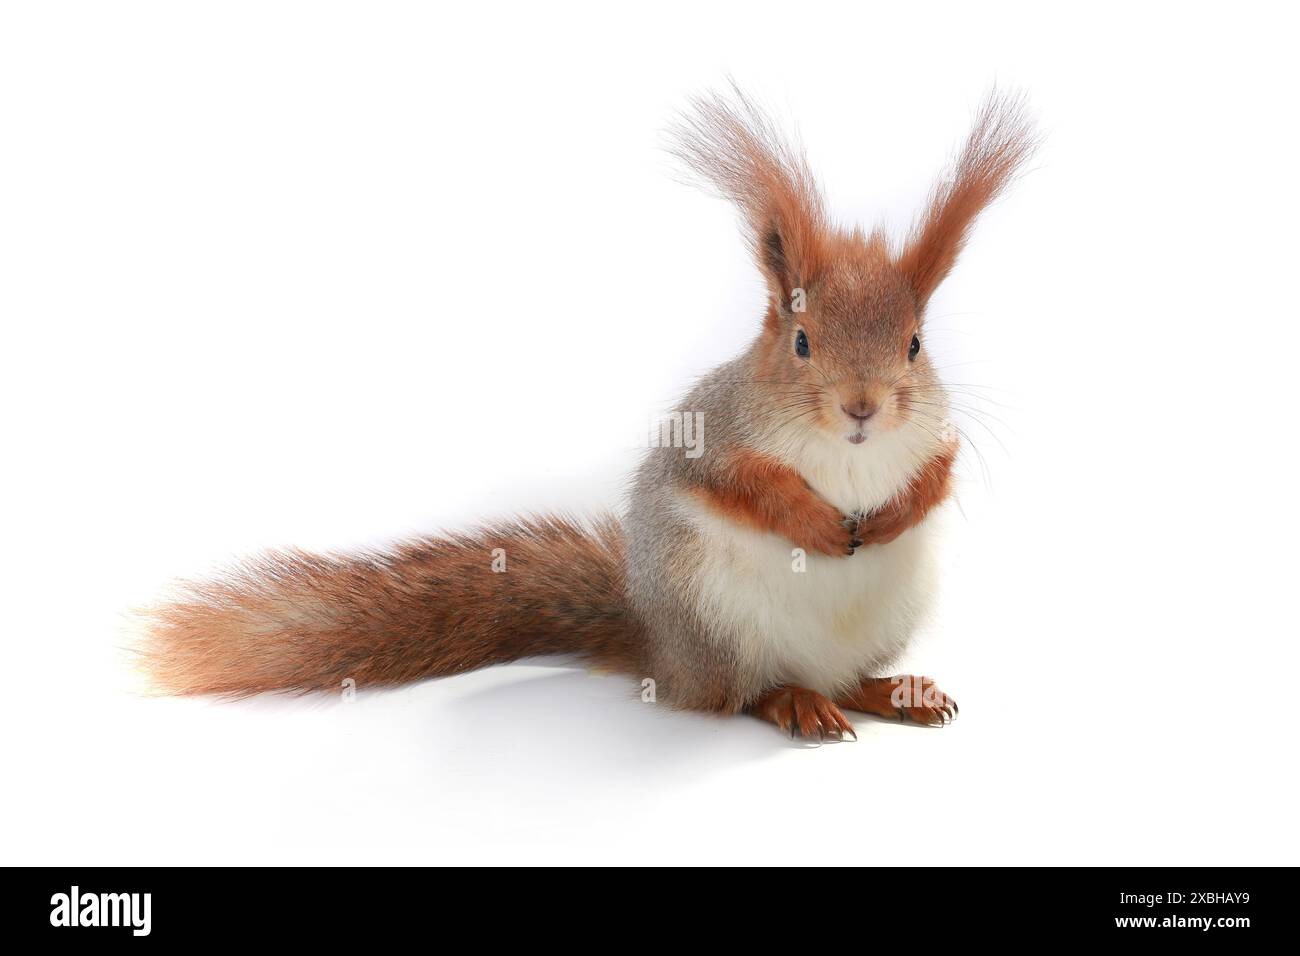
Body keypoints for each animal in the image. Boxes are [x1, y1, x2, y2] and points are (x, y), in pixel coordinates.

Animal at [139, 87, 1036, 740]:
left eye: (915, 344)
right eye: (803, 341)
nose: (862, 407)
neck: (848, 451)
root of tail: (663, 651)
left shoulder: (936, 431)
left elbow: (940, 472)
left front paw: (895, 512)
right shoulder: (714, 436)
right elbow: (744, 485)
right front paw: (812, 521)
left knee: (847, 681)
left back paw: (891, 690)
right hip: (717, 625)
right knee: (741, 693)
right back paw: (793, 701)